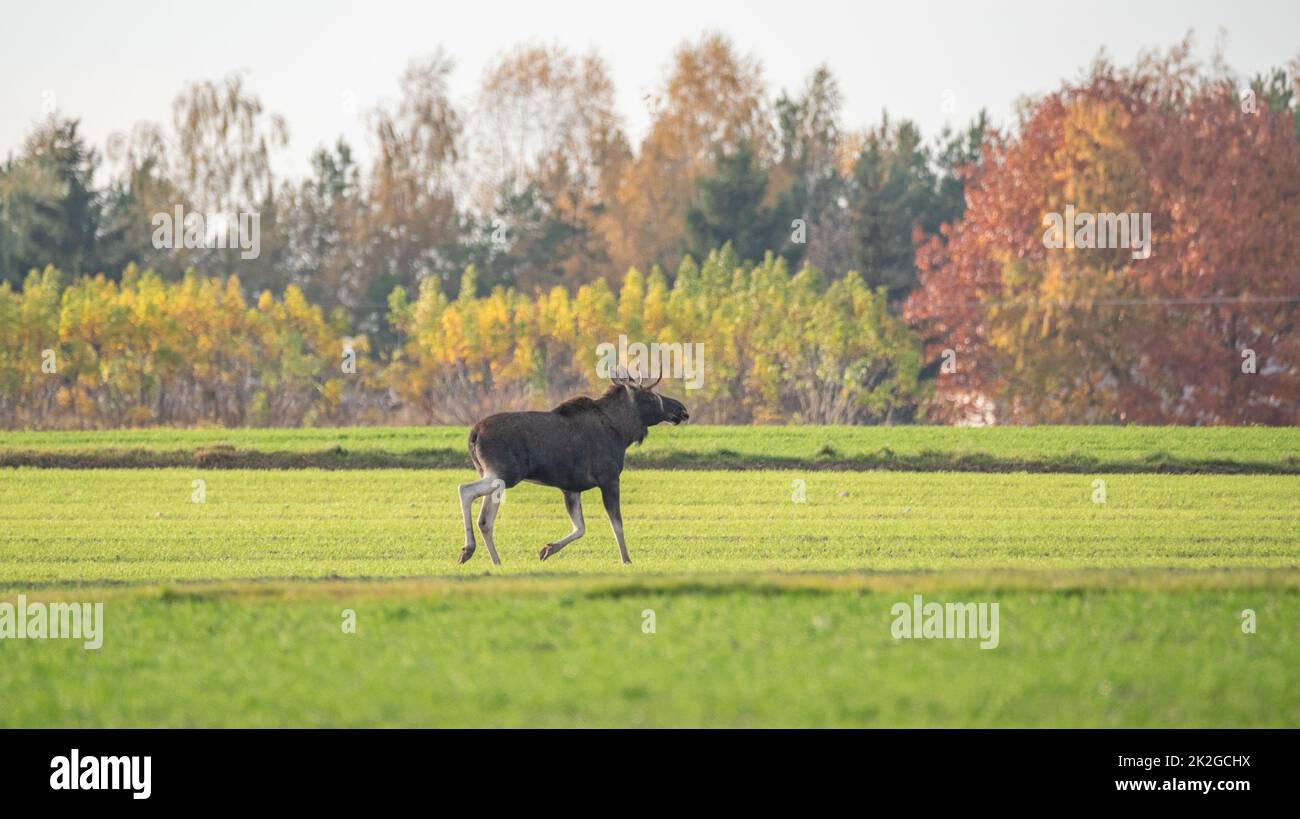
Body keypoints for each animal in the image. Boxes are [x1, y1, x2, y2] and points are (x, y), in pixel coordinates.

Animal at [456, 370, 689, 565]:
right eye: (651, 395)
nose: (682, 409)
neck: (622, 433)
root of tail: (474, 434)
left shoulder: (571, 487)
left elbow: (580, 527)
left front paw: (547, 549)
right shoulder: (609, 478)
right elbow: (617, 524)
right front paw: (626, 559)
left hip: (495, 476)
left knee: (485, 519)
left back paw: (495, 560)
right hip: (503, 474)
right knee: (465, 490)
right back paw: (468, 550)